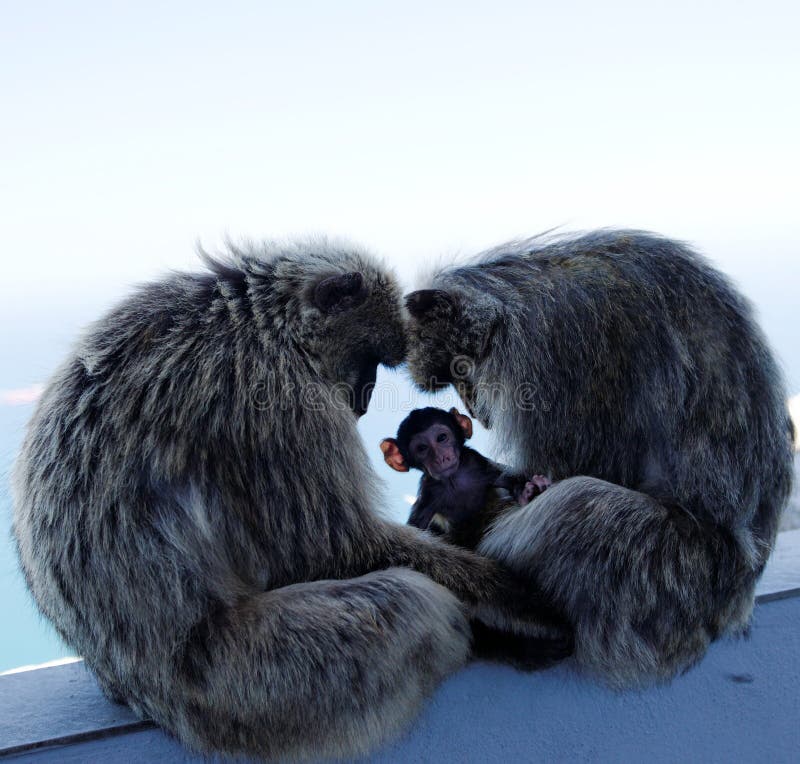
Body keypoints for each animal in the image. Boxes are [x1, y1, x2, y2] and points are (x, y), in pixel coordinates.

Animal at [380, 406, 551, 549]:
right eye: (422, 448)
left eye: (441, 438)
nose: (441, 458)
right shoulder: (430, 491)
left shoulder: (474, 462)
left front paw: (528, 492)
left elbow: (503, 478)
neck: (454, 479)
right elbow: (417, 525)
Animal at [403, 229, 795, 689]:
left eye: (462, 368)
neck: (516, 304)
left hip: (665, 579)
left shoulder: (564, 351)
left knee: (577, 505)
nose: (476, 409)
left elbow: (582, 470)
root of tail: (736, 601)